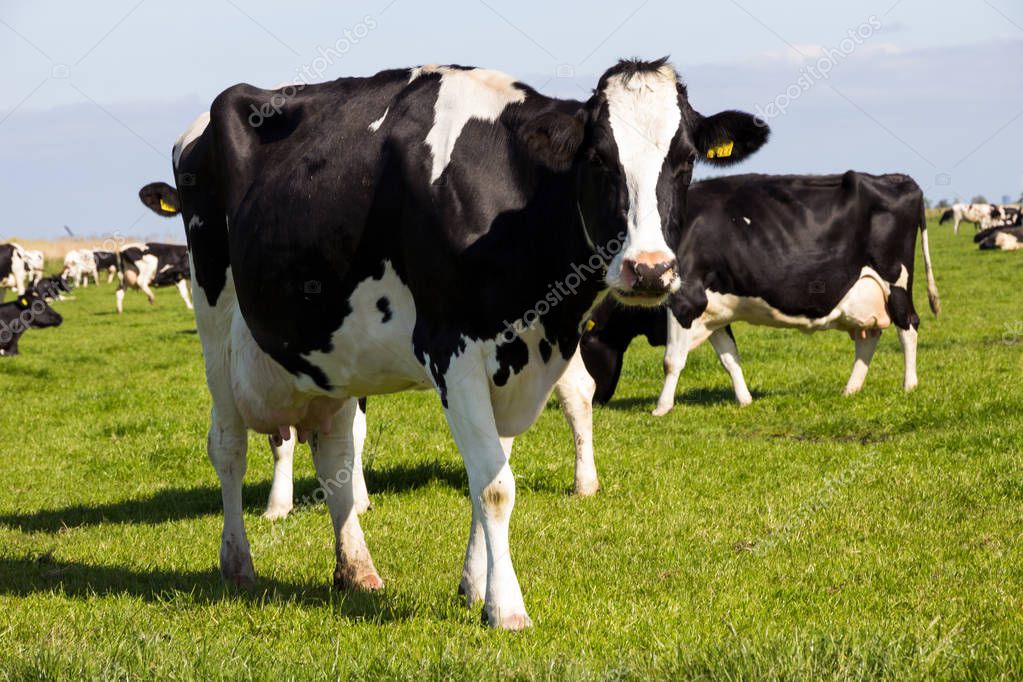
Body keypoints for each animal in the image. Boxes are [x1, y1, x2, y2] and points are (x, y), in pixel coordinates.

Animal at [137, 59, 769, 629]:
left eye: (684, 161)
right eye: (599, 159)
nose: (649, 269)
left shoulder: (516, 357)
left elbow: (486, 472)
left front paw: (473, 587)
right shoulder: (453, 349)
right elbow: (495, 486)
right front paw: (506, 609)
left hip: (330, 352)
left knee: (336, 454)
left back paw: (356, 570)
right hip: (215, 320)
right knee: (228, 447)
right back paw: (237, 563)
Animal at [573, 172, 940, 417]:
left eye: (584, 344)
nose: (592, 401)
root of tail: (898, 178)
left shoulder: (684, 302)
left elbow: (671, 360)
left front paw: (661, 408)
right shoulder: (714, 311)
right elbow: (729, 358)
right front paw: (744, 399)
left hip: (895, 280)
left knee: (908, 326)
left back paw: (909, 384)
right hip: (865, 295)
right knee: (870, 336)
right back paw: (850, 389)